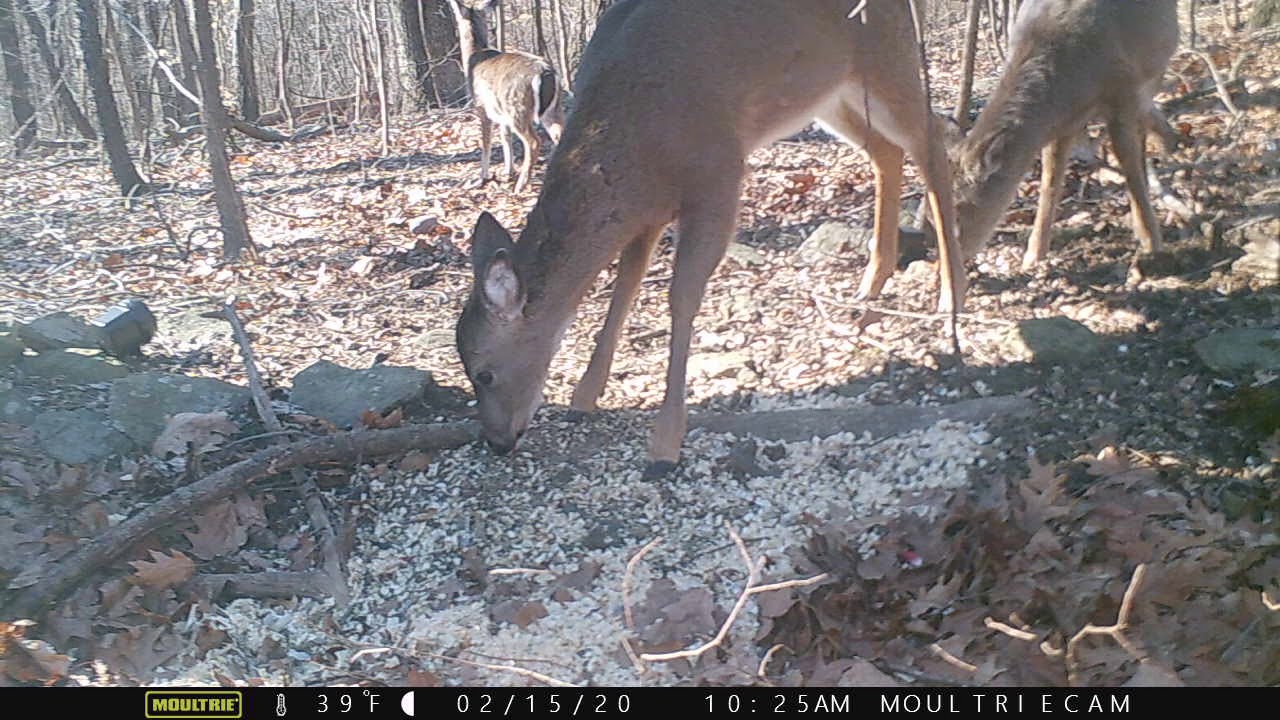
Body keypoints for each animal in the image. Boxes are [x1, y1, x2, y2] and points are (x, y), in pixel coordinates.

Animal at [447, 0, 566, 193]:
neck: (473, 56)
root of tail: (546, 72)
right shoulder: (500, 114)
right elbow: (505, 136)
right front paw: (507, 171)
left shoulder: (481, 106)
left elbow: (486, 142)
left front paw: (482, 177)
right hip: (552, 108)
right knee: (559, 133)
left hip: (517, 106)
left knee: (534, 142)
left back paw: (520, 186)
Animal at [942, 0, 1180, 271]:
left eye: (960, 207)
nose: (948, 259)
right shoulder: (1062, 123)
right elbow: (1050, 180)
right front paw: (1034, 254)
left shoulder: (1123, 90)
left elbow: (1129, 167)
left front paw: (1151, 241)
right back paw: (1169, 142)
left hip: (1156, 61)